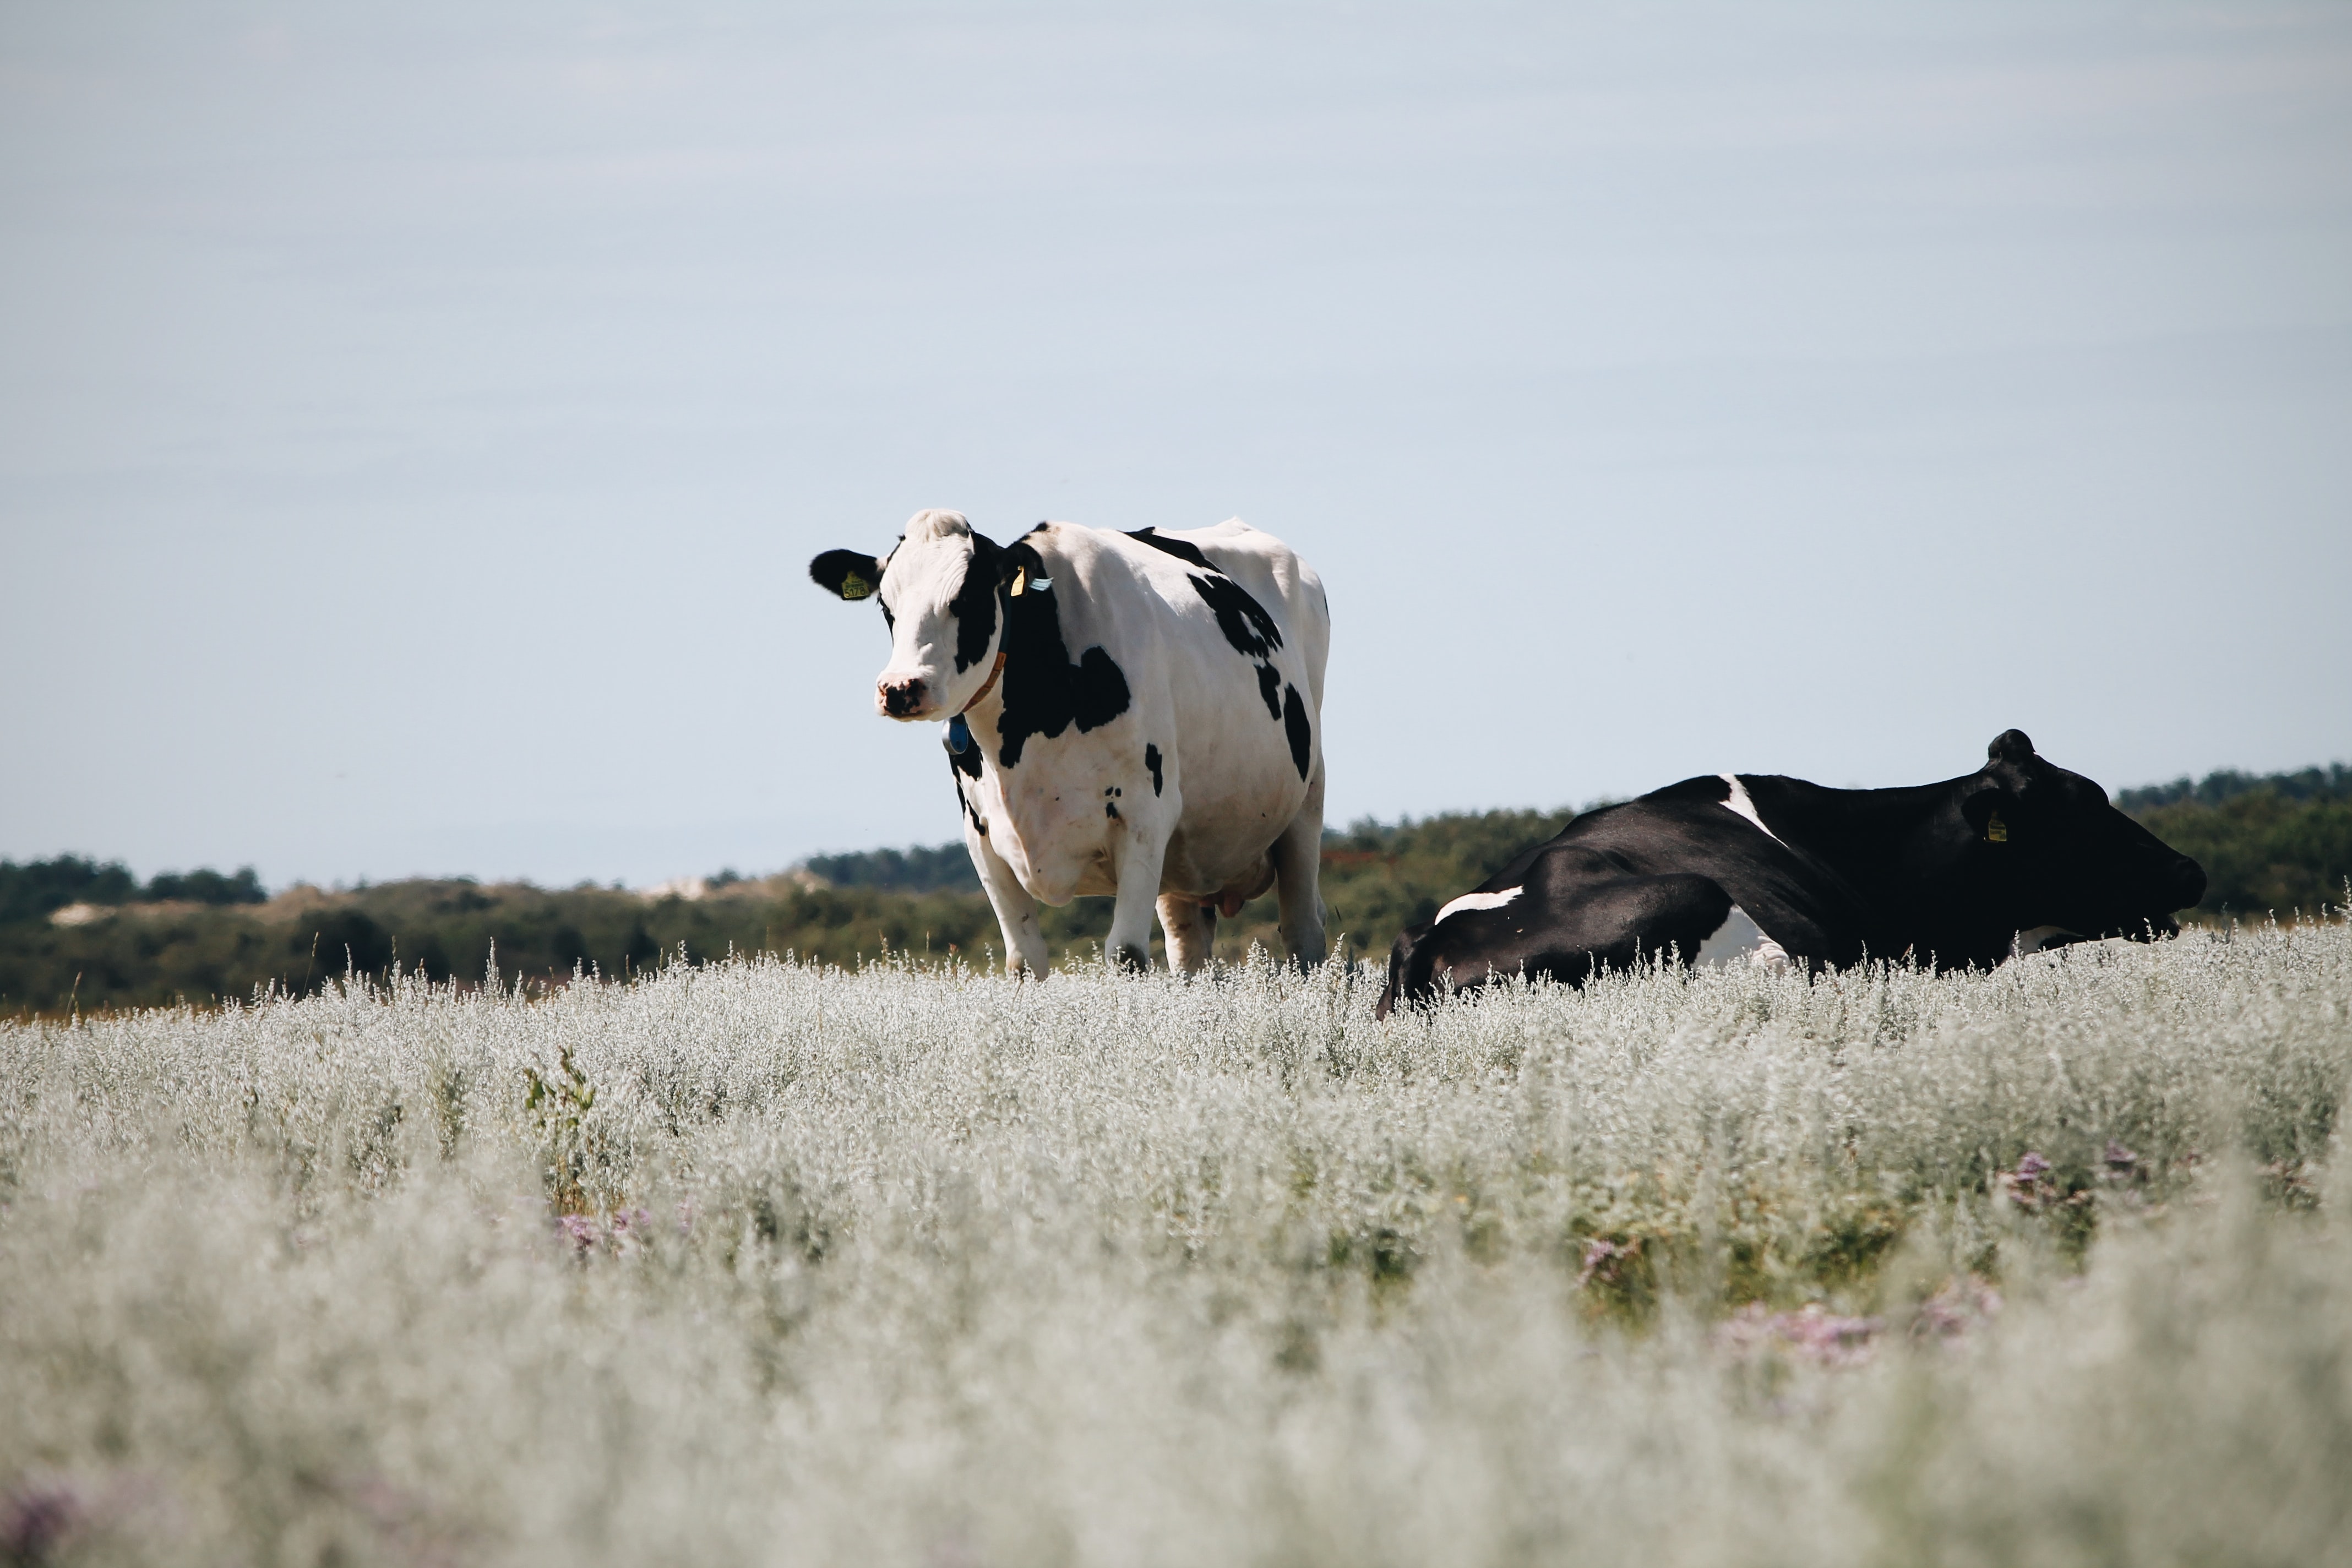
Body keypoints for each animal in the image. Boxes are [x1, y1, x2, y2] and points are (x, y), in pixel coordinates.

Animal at [811, 509, 1329, 975]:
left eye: (968, 598)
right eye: (886, 606)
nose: (900, 688)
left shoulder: (1144, 818)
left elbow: (1127, 955)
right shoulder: (981, 836)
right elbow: (1024, 961)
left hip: (1305, 804)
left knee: (1304, 934)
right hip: (1187, 862)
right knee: (1189, 949)